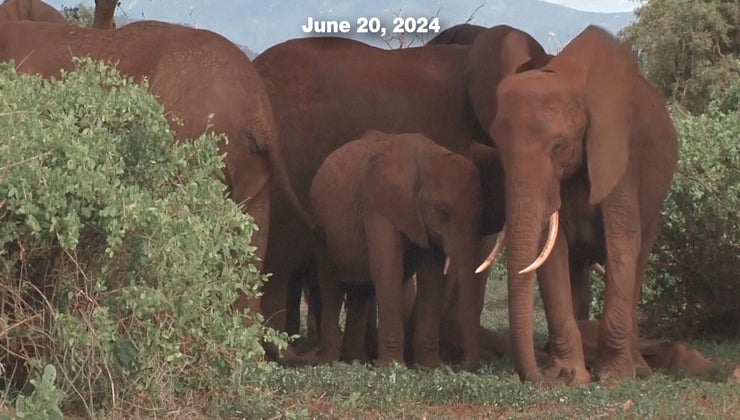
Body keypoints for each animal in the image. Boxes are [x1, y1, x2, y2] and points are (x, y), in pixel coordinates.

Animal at [300, 130, 486, 369]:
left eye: (482, 214)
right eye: (444, 212)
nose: (457, 366)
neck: (425, 158)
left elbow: (432, 276)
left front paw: (431, 367)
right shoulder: (379, 205)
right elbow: (388, 269)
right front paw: (392, 367)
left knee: (361, 290)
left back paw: (357, 360)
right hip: (321, 228)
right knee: (331, 286)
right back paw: (330, 361)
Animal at [483, 25, 678, 384]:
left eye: (558, 146)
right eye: (498, 150)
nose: (544, 380)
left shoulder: (618, 154)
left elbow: (621, 245)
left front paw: (613, 378)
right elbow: (551, 252)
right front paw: (570, 376)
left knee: (638, 260)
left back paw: (639, 369)